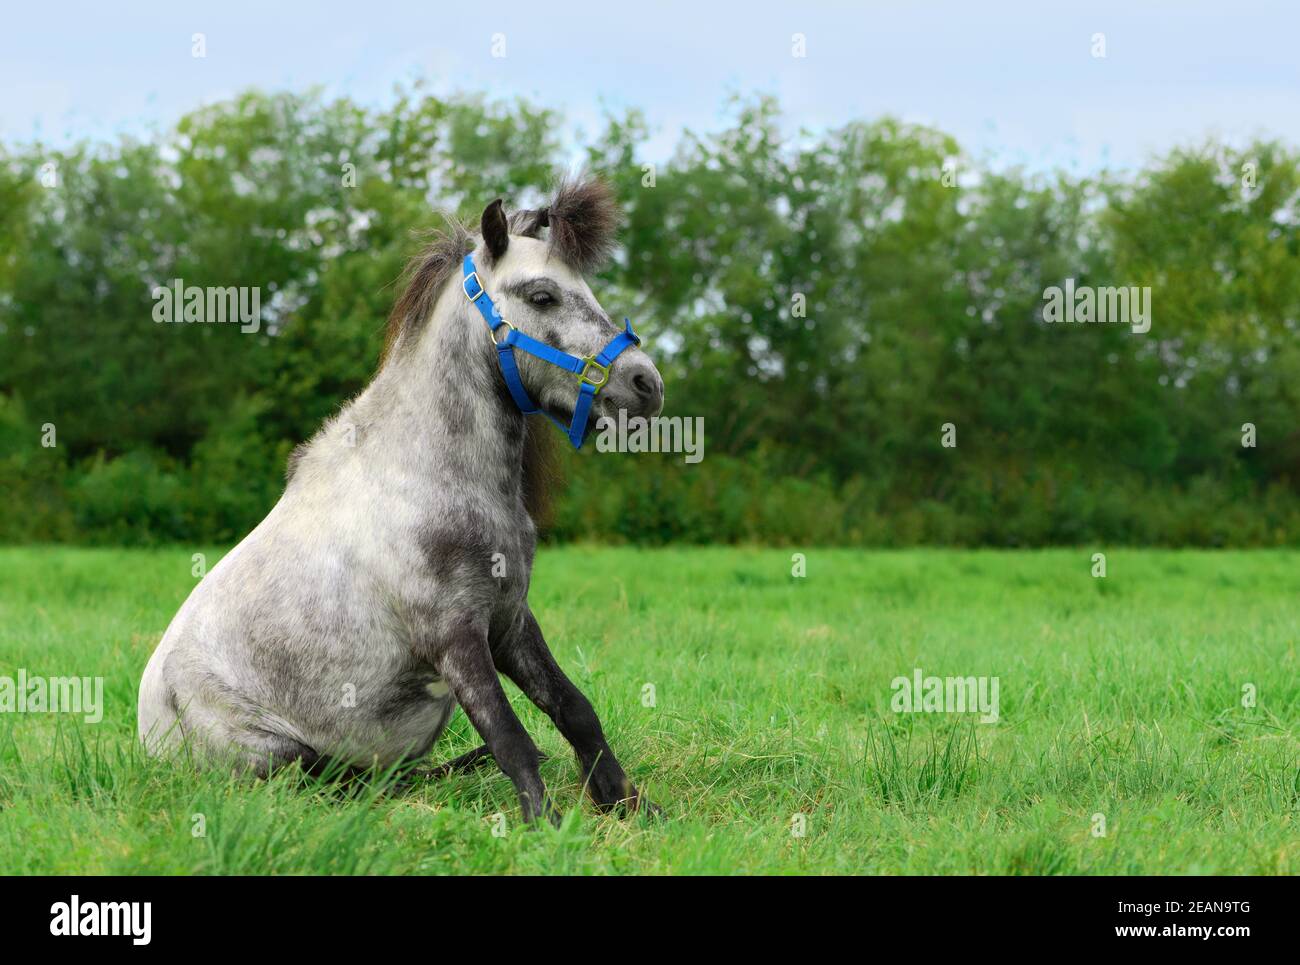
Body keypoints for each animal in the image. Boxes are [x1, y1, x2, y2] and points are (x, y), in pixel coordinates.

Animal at [137, 178, 664, 823]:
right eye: (541, 296)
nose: (646, 384)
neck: (428, 473)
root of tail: (147, 736)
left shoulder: (511, 622)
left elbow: (575, 711)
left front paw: (628, 805)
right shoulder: (454, 638)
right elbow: (509, 737)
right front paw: (544, 825)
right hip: (277, 756)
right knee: (329, 780)